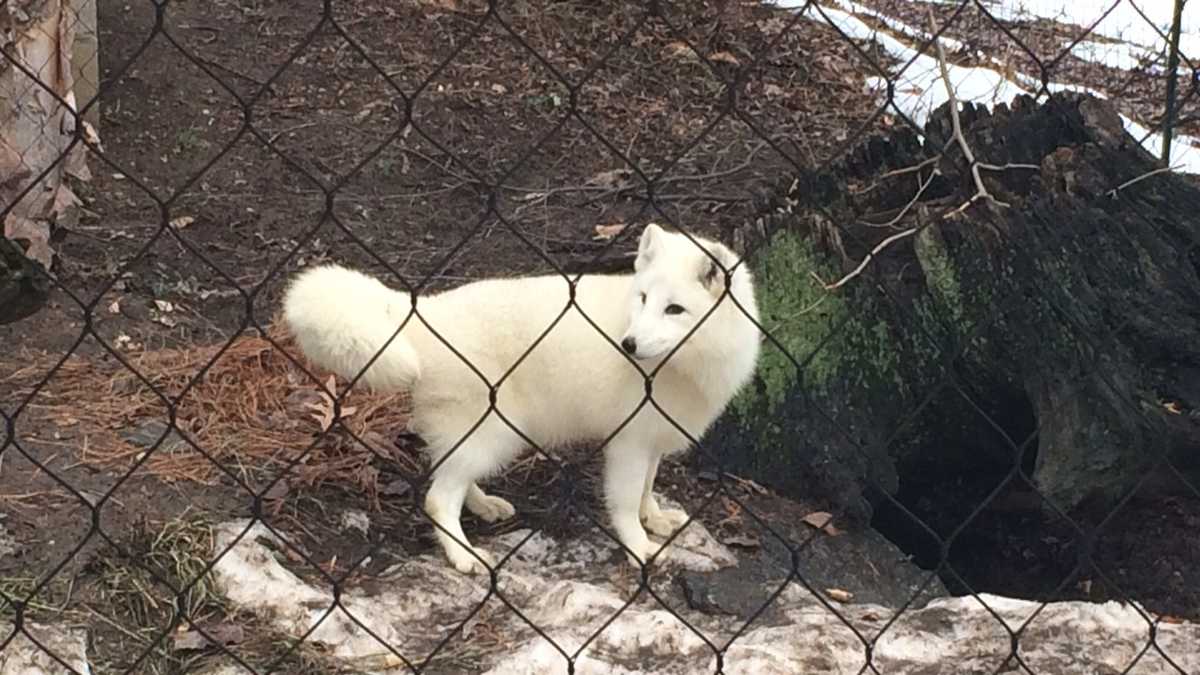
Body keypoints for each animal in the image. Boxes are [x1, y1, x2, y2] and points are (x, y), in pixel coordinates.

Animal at [281, 223, 761, 574]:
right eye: (643, 299)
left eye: (674, 309)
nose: (628, 344)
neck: (687, 366)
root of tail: (426, 310)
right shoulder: (628, 443)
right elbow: (624, 501)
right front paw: (640, 547)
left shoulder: (654, 439)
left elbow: (647, 489)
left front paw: (656, 520)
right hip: (492, 433)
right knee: (438, 498)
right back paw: (464, 558)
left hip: (480, 435)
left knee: (447, 472)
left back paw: (484, 506)